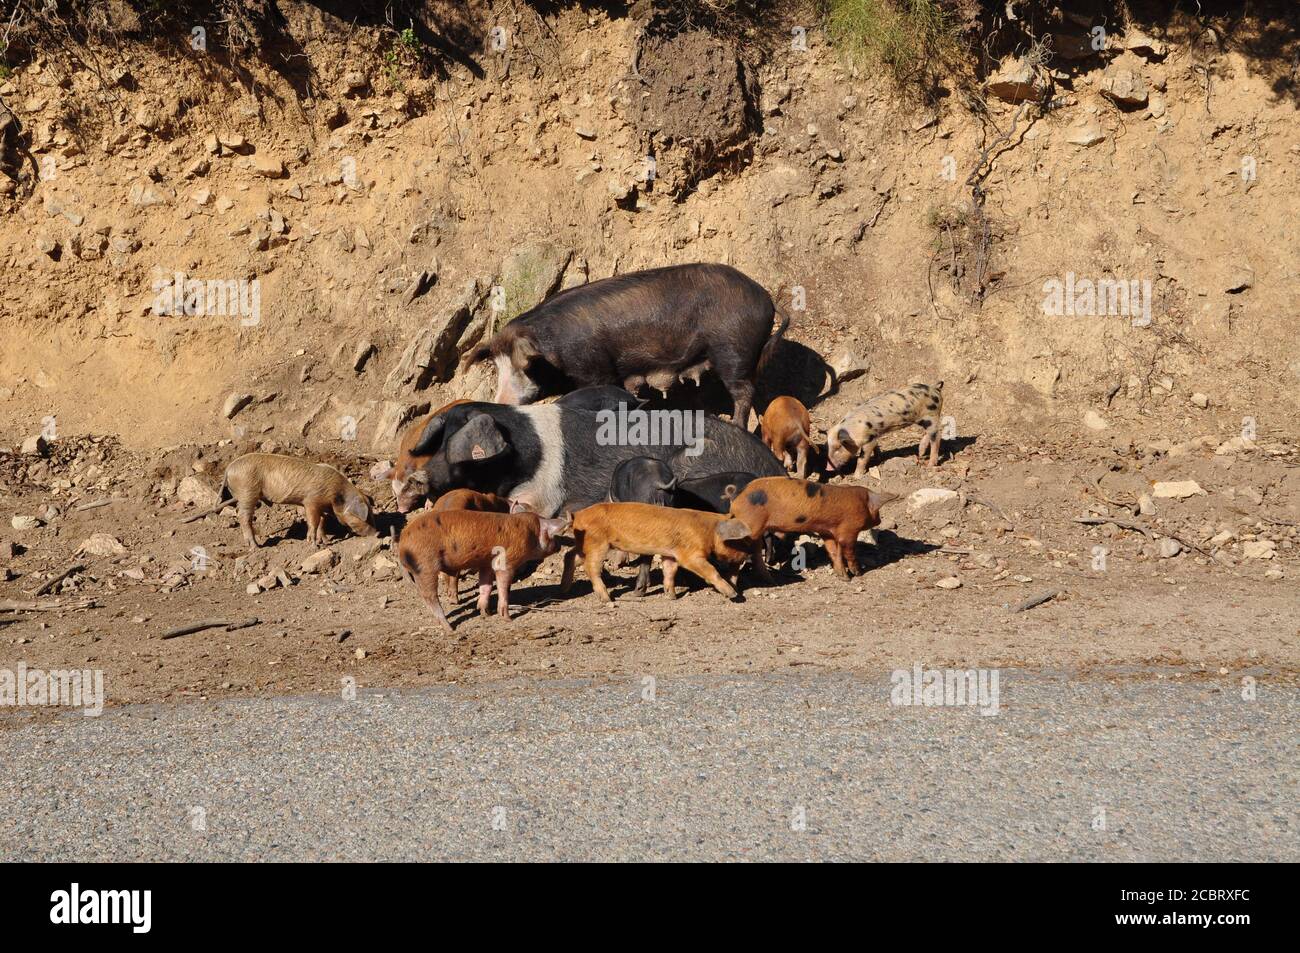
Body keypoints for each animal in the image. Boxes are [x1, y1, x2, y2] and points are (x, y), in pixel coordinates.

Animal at [214, 453, 378, 551]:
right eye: (366, 517)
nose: (378, 534)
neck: (336, 495)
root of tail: (229, 468)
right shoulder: (311, 501)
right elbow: (313, 522)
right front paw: (313, 545)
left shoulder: (322, 506)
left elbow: (322, 522)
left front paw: (326, 542)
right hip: (247, 492)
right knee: (243, 517)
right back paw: (256, 547)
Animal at [397, 509, 570, 633]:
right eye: (553, 536)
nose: (559, 545)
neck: (532, 532)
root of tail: (402, 543)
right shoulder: (506, 561)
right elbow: (502, 586)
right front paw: (508, 619)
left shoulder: (485, 563)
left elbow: (486, 585)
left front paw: (484, 613)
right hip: (426, 565)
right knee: (429, 596)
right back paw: (450, 628)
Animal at [460, 263, 790, 427]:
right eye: (497, 366)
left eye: (525, 365)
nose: (500, 401)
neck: (554, 352)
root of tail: (767, 299)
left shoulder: (595, 369)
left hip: (733, 350)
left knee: (743, 392)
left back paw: (735, 424)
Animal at [560, 502, 755, 602]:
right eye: (738, 541)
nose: (747, 555)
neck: (708, 530)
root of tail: (577, 516)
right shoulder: (690, 555)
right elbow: (711, 570)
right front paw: (734, 595)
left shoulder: (671, 554)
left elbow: (669, 571)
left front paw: (672, 596)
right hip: (597, 543)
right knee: (590, 567)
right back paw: (607, 599)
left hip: (583, 544)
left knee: (569, 556)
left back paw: (565, 589)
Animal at [726, 476, 897, 579]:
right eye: (876, 510)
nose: (879, 520)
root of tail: (736, 496)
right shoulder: (848, 530)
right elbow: (848, 551)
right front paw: (858, 573)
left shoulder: (827, 531)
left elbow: (833, 551)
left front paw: (843, 577)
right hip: (751, 525)